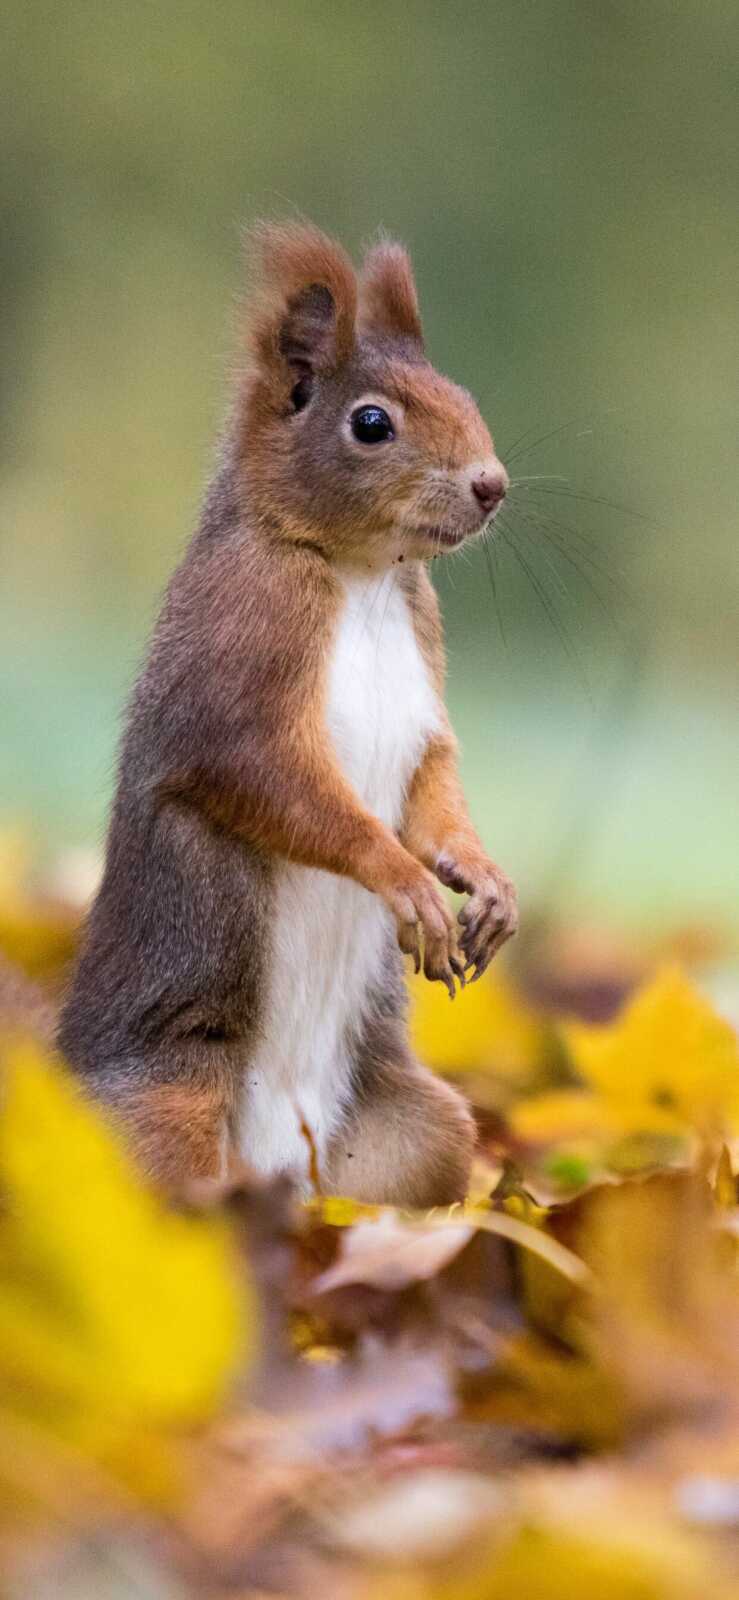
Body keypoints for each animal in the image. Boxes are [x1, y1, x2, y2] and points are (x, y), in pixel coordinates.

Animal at [57, 222, 518, 1205]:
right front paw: (403, 879)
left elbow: (435, 779)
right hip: (164, 1112)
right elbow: (270, 780)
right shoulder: (242, 646)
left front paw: (481, 878)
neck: (364, 575)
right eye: (371, 423)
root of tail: (277, 1177)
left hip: (419, 1135)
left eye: (460, 393)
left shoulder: (424, 671)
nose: (491, 484)